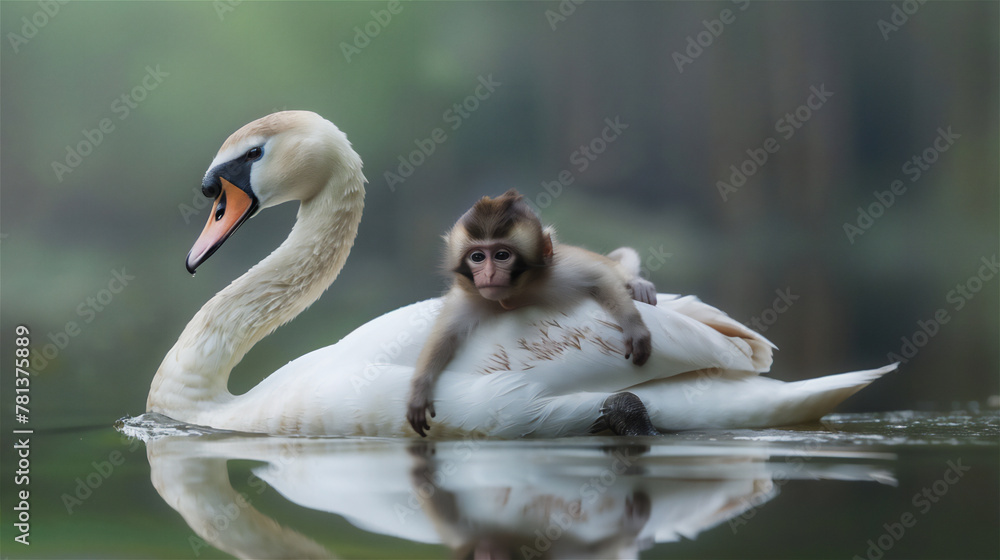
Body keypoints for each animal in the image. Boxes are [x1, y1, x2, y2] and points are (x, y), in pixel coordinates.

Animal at [406, 189, 657, 437]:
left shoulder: (561, 273)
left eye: (501, 255)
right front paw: (419, 390)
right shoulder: (466, 300)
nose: (488, 274)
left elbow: (601, 279)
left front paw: (635, 328)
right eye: (477, 257)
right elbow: (444, 337)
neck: (513, 296)